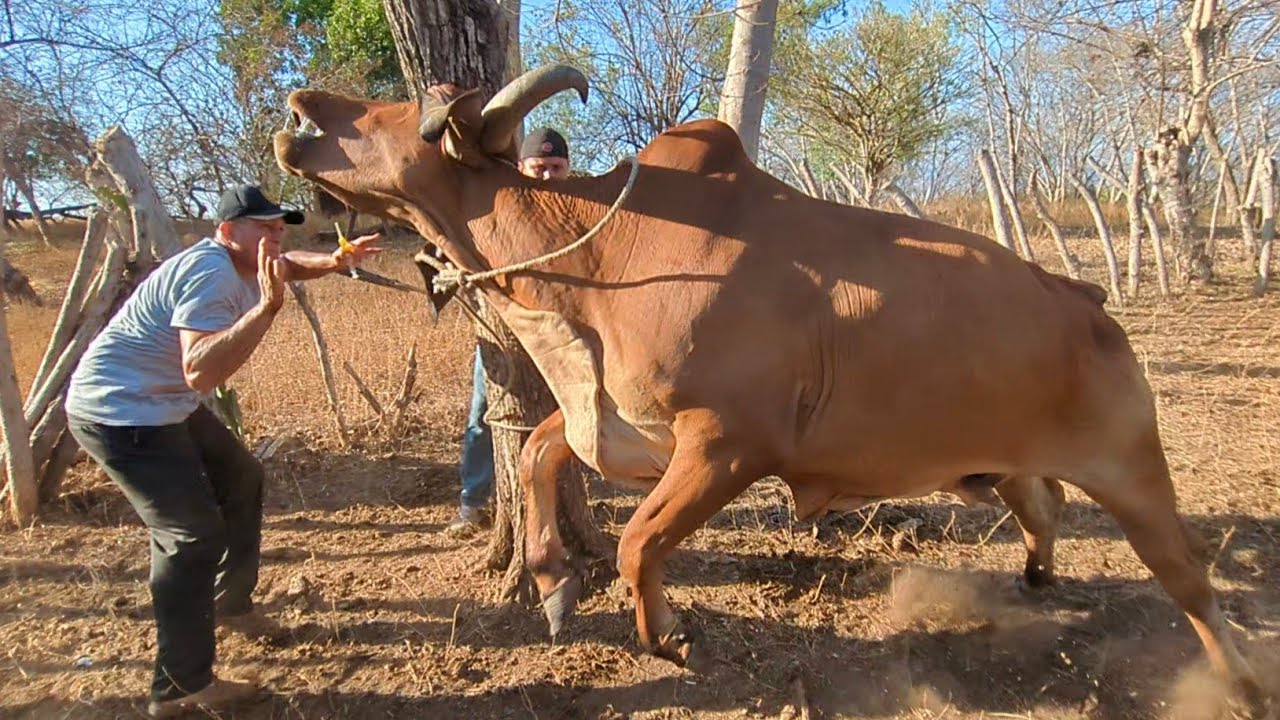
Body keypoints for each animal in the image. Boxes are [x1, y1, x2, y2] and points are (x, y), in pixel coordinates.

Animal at [273, 65, 1272, 717]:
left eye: (403, 108)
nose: (298, 107)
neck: (601, 259)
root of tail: (1087, 301)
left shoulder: (726, 444)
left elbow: (637, 541)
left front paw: (667, 635)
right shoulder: (627, 427)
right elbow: (541, 453)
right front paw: (553, 581)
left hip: (1132, 467)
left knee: (1188, 574)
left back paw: (1238, 681)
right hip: (995, 463)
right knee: (1041, 502)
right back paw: (1037, 576)